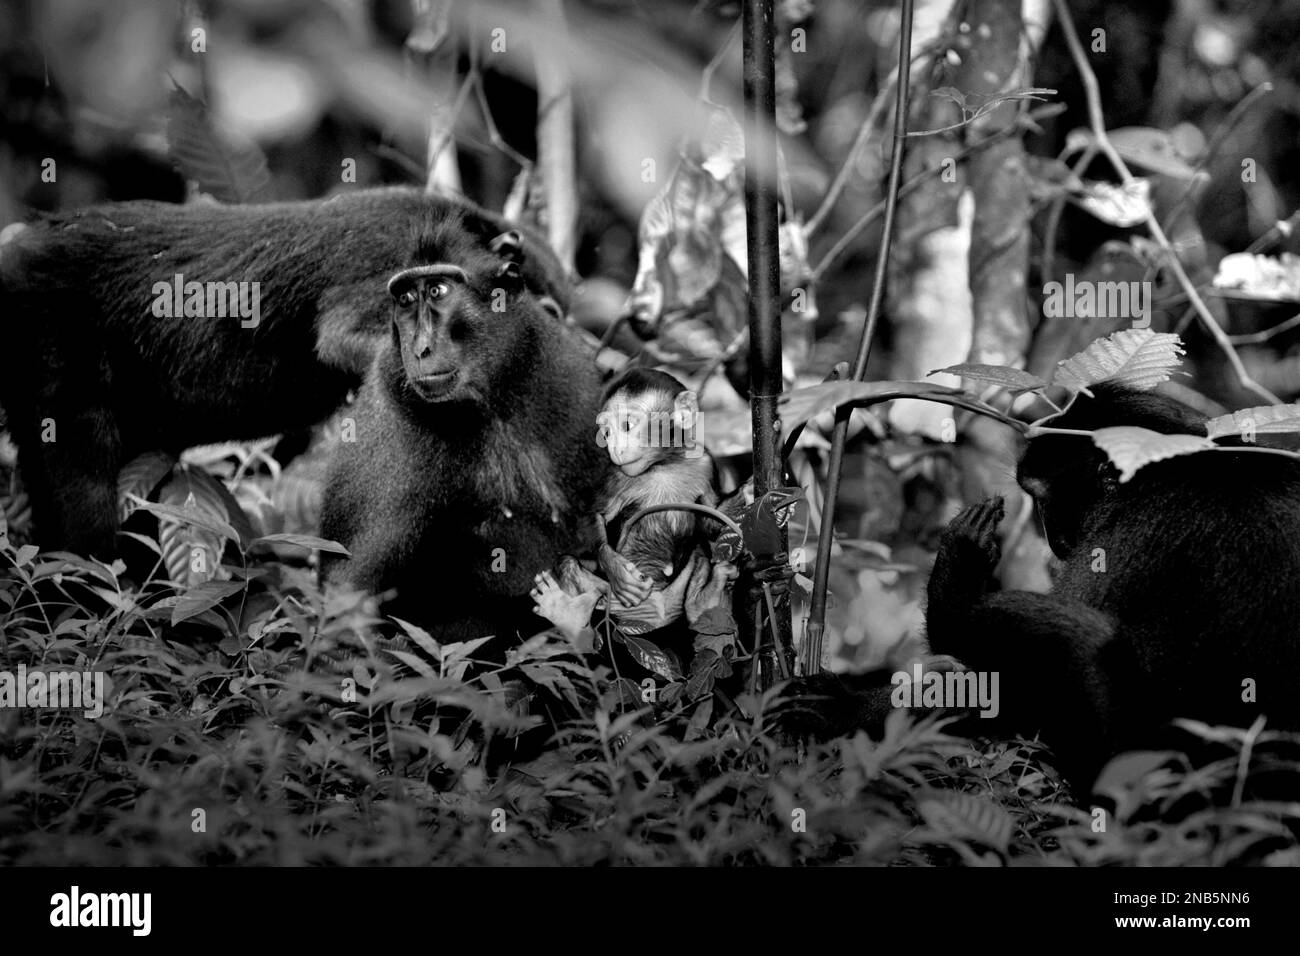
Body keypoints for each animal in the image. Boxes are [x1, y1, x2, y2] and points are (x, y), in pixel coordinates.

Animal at [317, 234, 610, 644]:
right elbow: (346, 602)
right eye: (406, 300)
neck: (487, 406)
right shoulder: (389, 435)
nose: (419, 348)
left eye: (437, 291)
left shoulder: (566, 380)